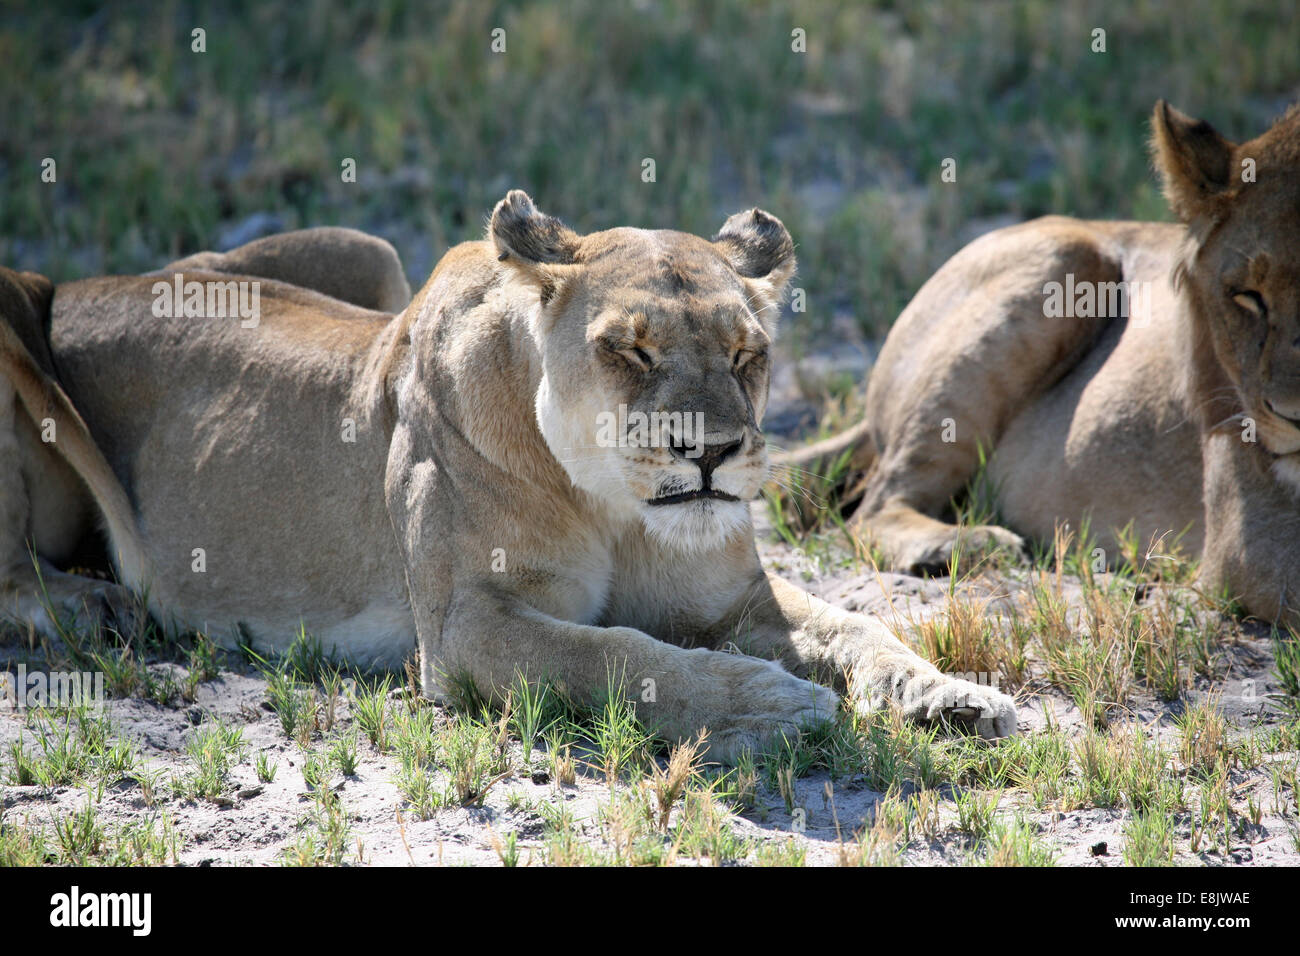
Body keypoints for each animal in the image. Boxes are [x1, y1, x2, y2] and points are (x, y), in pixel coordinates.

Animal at [0, 193, 1016, 760]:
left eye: (746, 352)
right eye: (629, 350)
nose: (713, 451)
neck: (612, 505)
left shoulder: (737, 602)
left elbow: (857, 628)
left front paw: (951, 697)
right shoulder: (464, 629)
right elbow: (621, 656)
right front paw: (772, 702)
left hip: (365, 248)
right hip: (16, 311)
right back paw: (92, 605)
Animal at [786, 101, 1300, 628]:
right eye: (1248, 296)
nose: (1292, 416)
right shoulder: (1242, 539)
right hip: (1066, 254)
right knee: (871, 509)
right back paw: (972, 545)